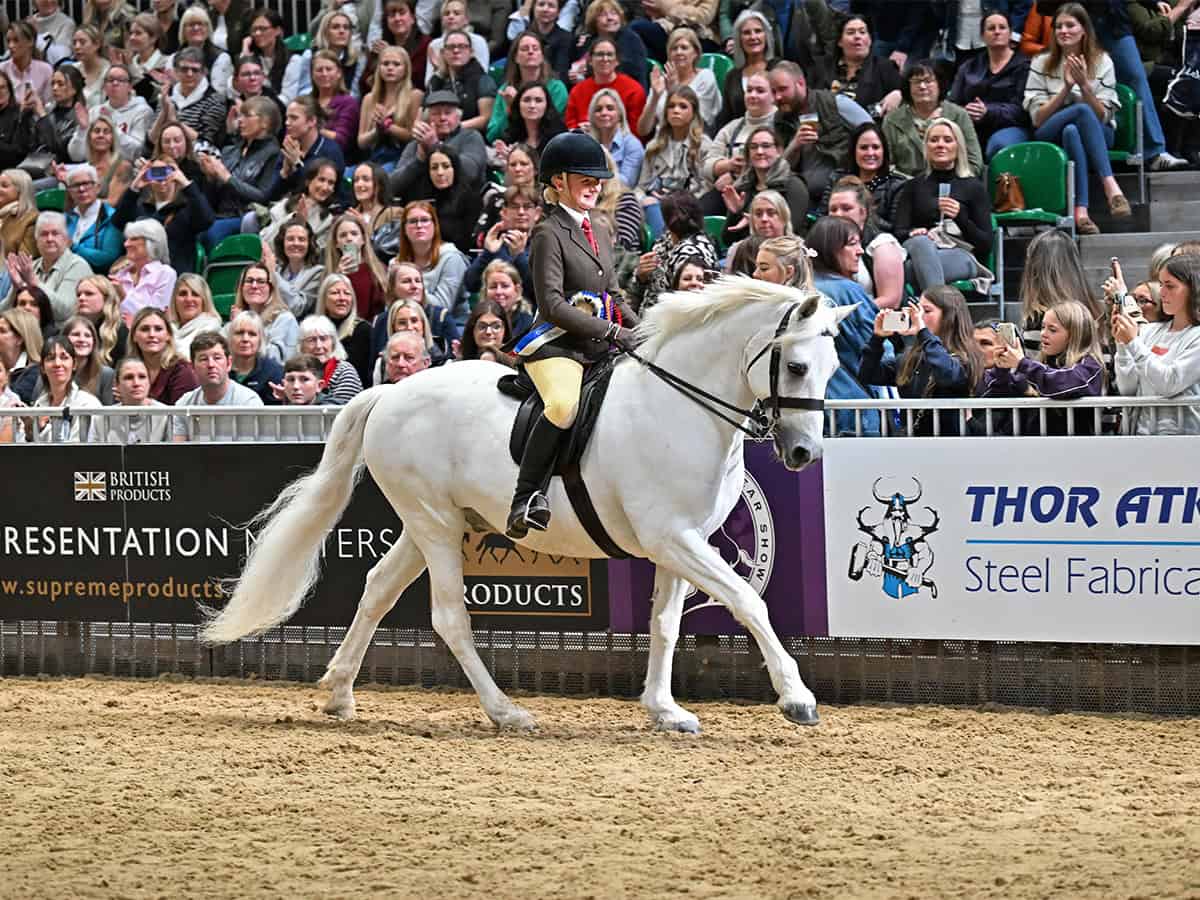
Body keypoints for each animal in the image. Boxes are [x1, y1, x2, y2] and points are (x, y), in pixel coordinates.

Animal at [200, 276, 859, 733]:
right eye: (796, 364)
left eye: (832, 367)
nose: (804, 453)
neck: (681, 407)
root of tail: (390, 392)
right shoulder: (673, 537)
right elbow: (749, 600)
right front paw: (797, 699)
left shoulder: (679, 540)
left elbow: (667, 624)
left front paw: (664, 710)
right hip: (436, 525)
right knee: (449, 618)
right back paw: (506, 712)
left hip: (433, 523)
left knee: (378, 587)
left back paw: (339, 692)